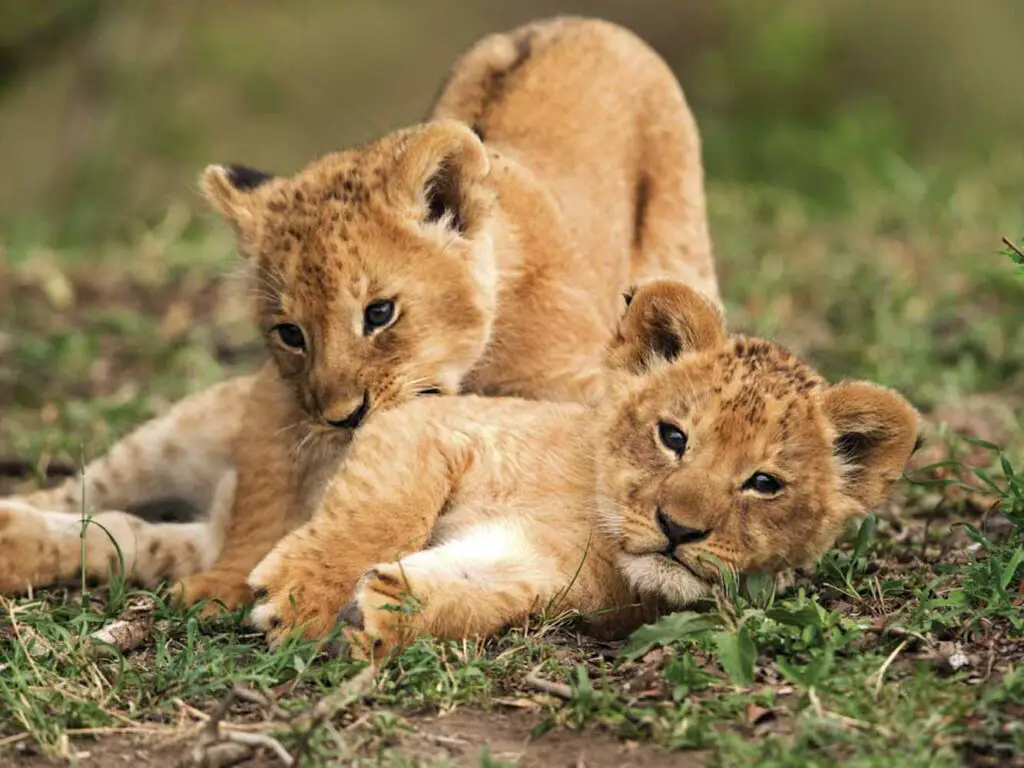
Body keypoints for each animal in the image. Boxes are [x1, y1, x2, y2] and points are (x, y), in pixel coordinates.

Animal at [1, 17, 719, 604]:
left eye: (379, 313)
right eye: (290, 333)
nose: (343, 417)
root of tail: (572, 19)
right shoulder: (277, 400)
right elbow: (259, 501)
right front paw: (225, 585)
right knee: (93, 494)